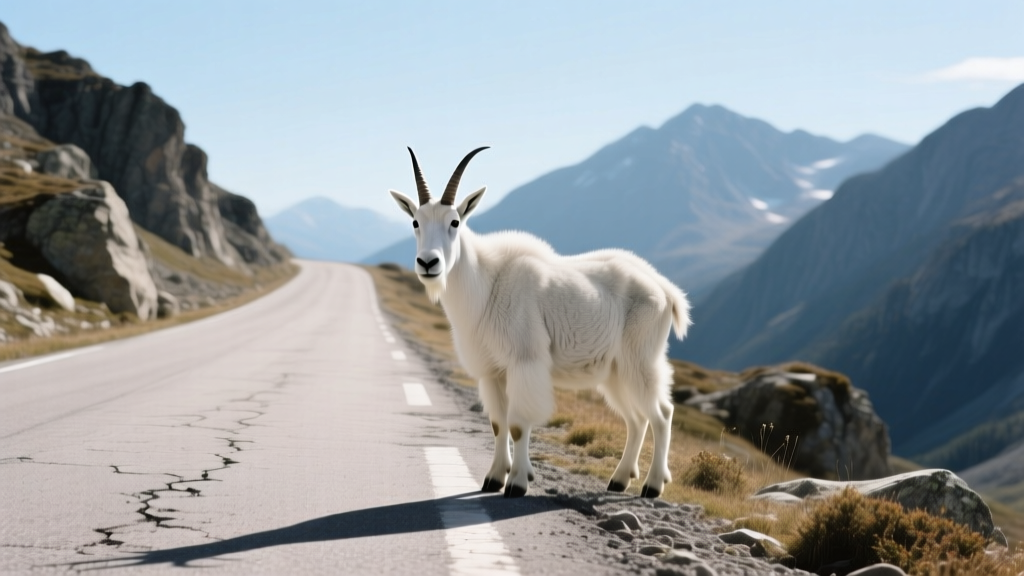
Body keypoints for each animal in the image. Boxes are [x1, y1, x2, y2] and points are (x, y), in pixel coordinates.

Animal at [389, 147, 691, 498]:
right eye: (415, 222)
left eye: (455, 221)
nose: (428, 263)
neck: (487, 285)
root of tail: (666, 290)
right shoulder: (493, 371)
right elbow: (498, 423)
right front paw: (494, 478)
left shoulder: (525, 361)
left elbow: (519, 424)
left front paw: (517, 483)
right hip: (615, 371)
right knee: (636, 419)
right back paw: (619, 480)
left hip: (640, 360)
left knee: (661, 414)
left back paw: (653, 485)